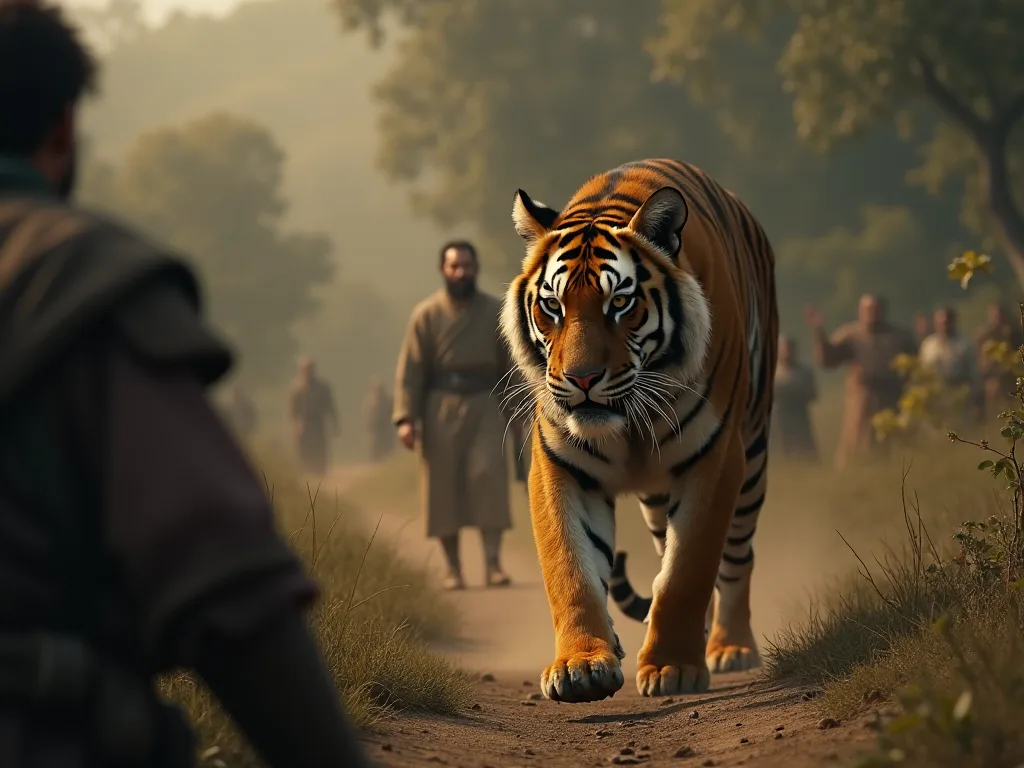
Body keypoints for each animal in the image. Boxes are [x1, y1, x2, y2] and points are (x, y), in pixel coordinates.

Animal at [499, 159, 777, 703]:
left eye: (620, 304)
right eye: (553, 306)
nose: (582, 378)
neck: (628, 426)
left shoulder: (715, 458)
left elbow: (686, 572)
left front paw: (673, 667)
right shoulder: (560, 465)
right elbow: (572, 568)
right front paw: (580, 666)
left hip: (752, 456)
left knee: (737, 558)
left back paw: (730, 646)